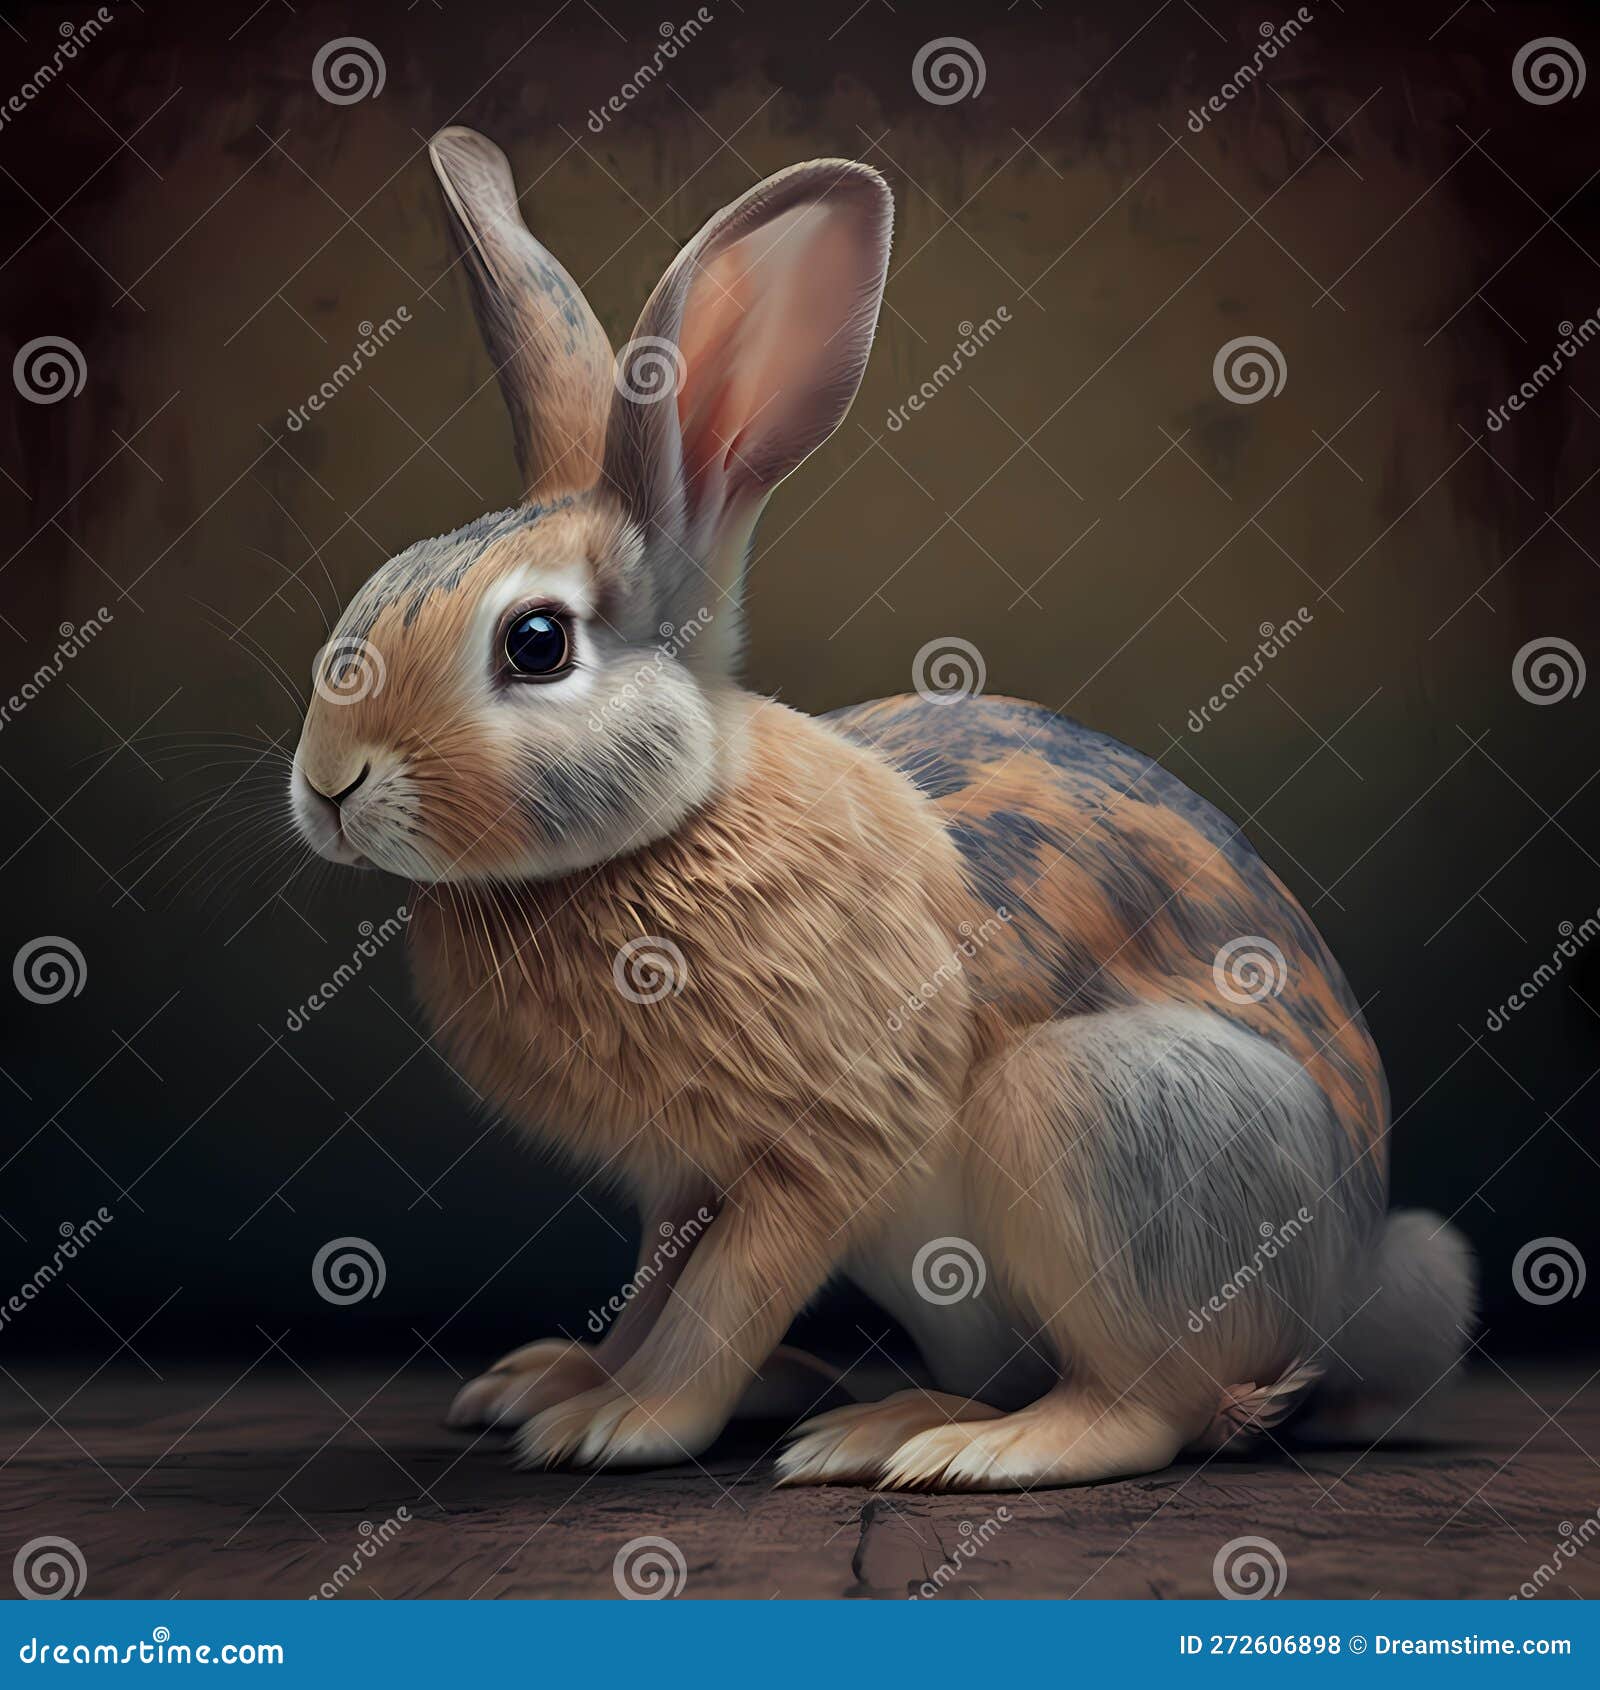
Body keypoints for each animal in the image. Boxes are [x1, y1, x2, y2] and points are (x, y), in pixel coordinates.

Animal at [288, 125, 1475, 1491]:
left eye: (536, 644)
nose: (327, 783)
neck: (670, 825)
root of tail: (1353, 1289)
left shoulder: (823, 1148)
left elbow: (722, 1300)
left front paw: (622, 1424)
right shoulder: (683, 1177)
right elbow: (655, 1289)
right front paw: (559, 1382)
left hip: (1103, 1125)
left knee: (1152, 1401)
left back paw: (964, 1447)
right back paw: (868, 1412)